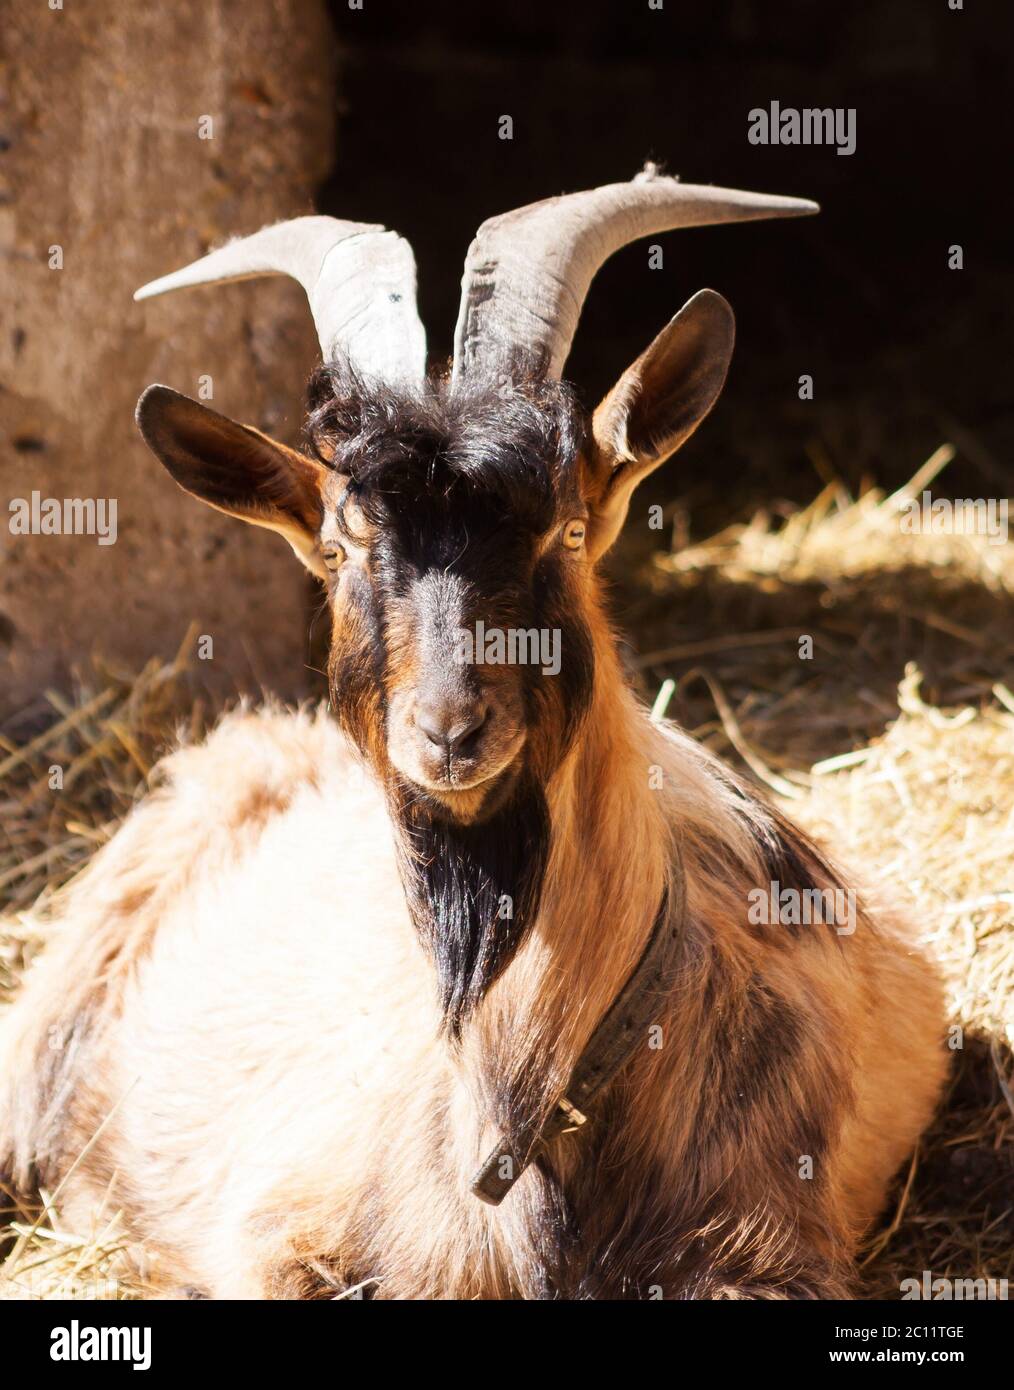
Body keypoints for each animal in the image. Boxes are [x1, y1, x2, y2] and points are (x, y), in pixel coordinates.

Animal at [0, 170, 948, 1299]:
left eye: (566, 530)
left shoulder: (763, 1247)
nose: (449, 729)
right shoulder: (280, 1226)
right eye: (343, 544)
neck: (536, 1092)